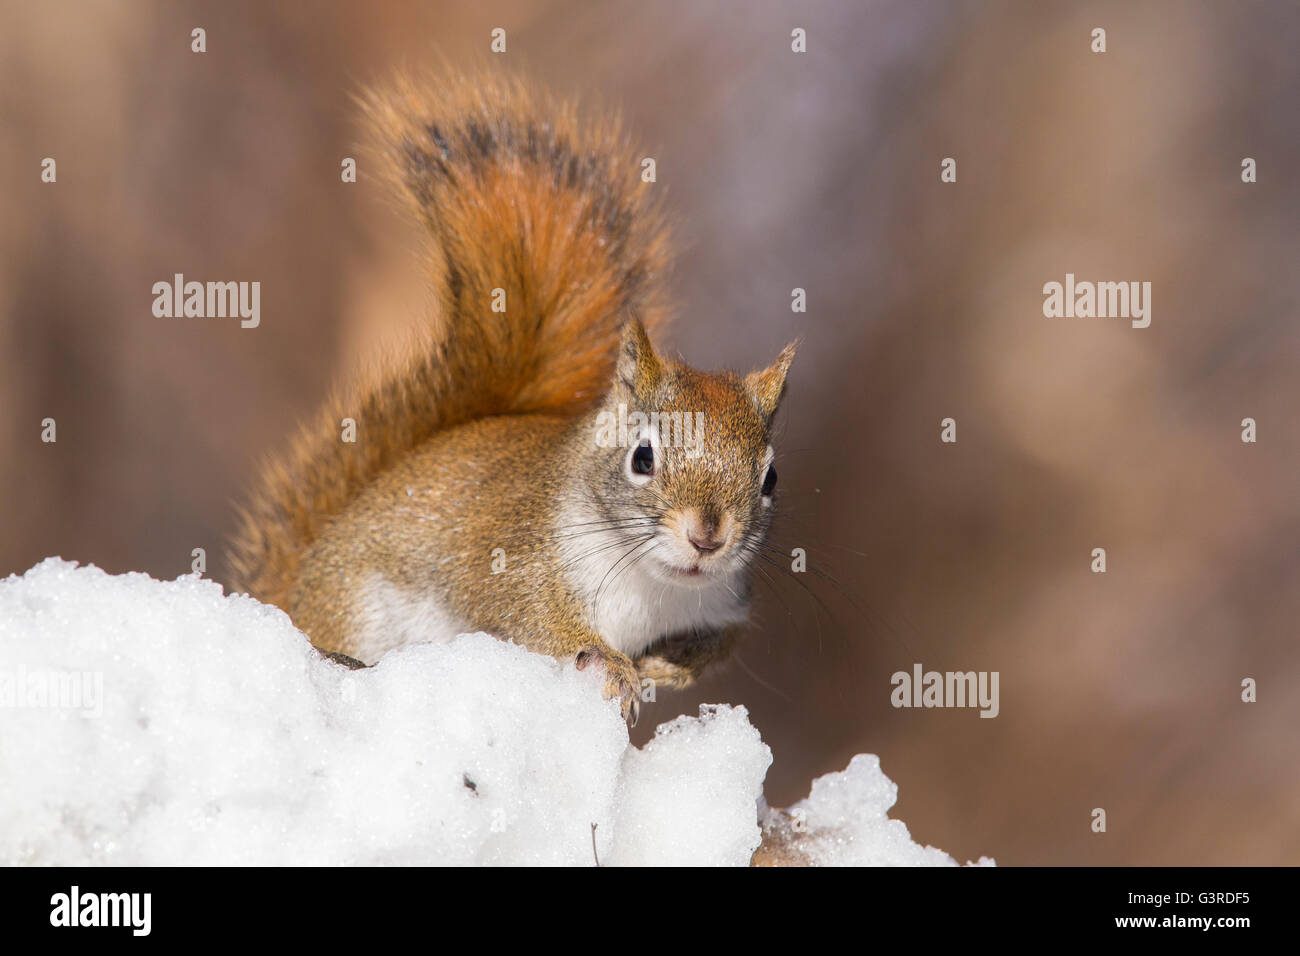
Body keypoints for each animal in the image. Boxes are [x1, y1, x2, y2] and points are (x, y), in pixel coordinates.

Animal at [227, 71, 796, 727]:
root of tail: (290, 598)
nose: (708, 538)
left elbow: (721, 643)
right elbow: (532, 615)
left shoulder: (725, 602)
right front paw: (611, 664)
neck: (655, 585)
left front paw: (670, 663)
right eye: (643, 458)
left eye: (770, 478)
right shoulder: (517, 558)